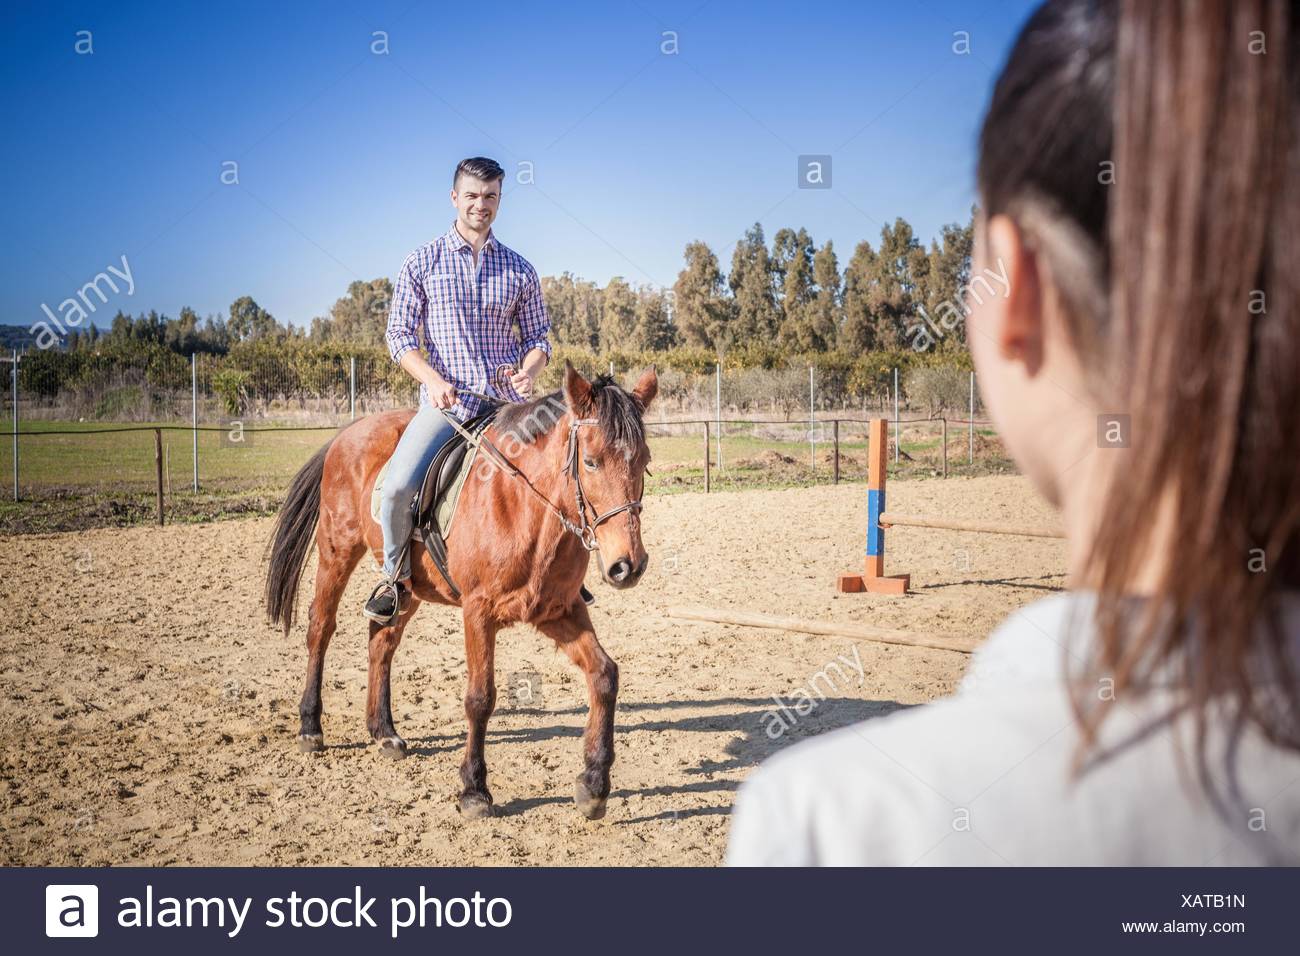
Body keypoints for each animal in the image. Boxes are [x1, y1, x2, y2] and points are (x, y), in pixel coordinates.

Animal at [264, 363, 657, 820]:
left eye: (644, 461)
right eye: (591, 462)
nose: (627, 566)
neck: (528, 507)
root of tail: (349, 432)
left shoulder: (558, 610)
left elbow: (605, 675)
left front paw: (594, 784)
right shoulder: (478, 611)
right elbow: (480, 697)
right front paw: (474, 789)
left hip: (408, 585)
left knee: (382, 641)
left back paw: (384, 731)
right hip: (337, 550)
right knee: (321, 629)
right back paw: (310, 727)